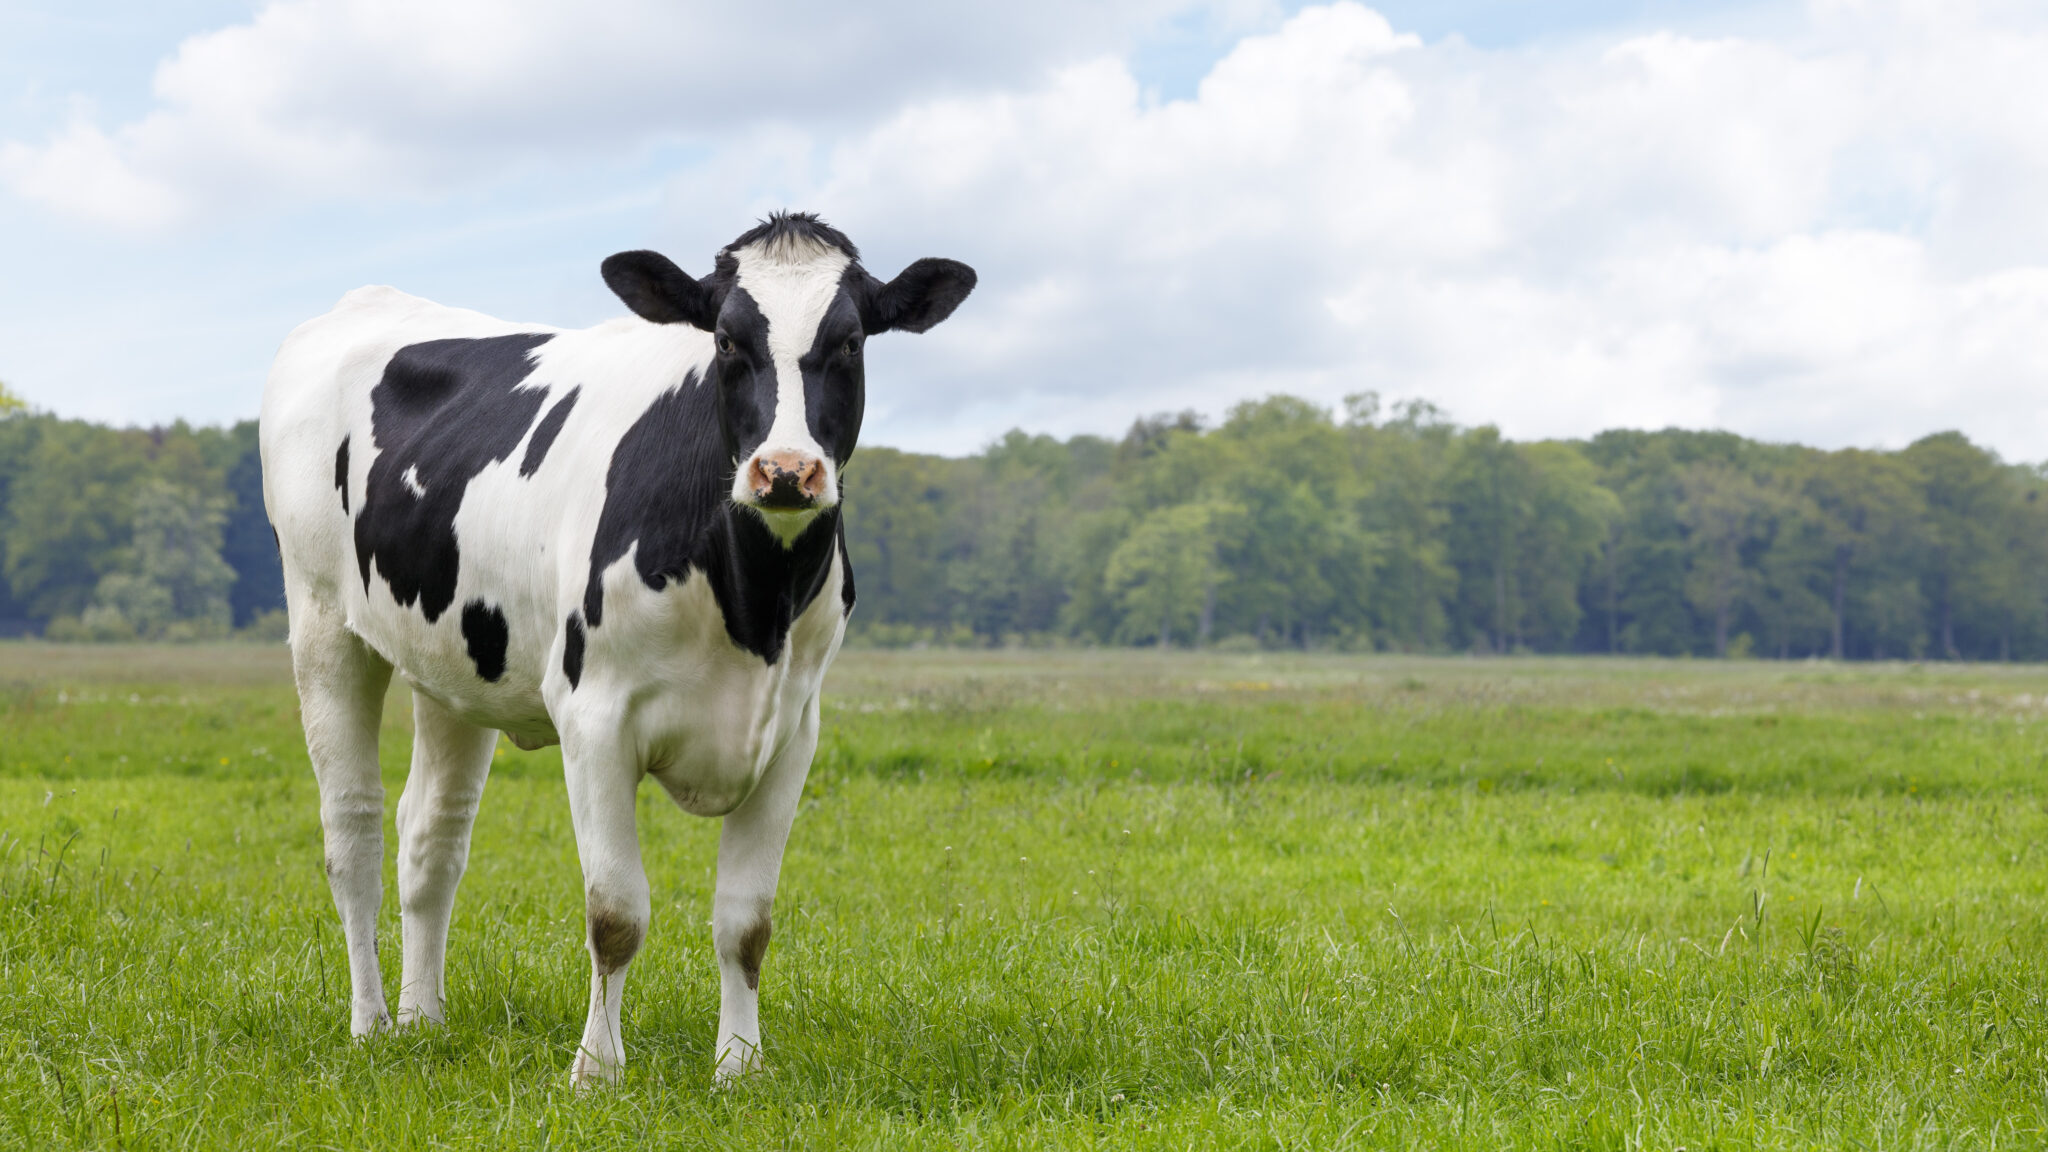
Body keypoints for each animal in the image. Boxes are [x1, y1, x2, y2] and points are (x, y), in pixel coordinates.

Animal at [260, 212, 975, 1085]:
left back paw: (424, 1021)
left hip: (451, 662)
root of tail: (367, 300)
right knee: (353, 829)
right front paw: (596, 1071)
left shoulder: (791, 733)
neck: (752, 602)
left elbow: (747, 922)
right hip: (322, 621)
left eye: (848, 342)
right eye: (726, 340)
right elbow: (616, 913)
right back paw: (370, 1025)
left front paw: (739, 1067)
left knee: (433, 834)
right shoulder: (593, 717)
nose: (785, 472)